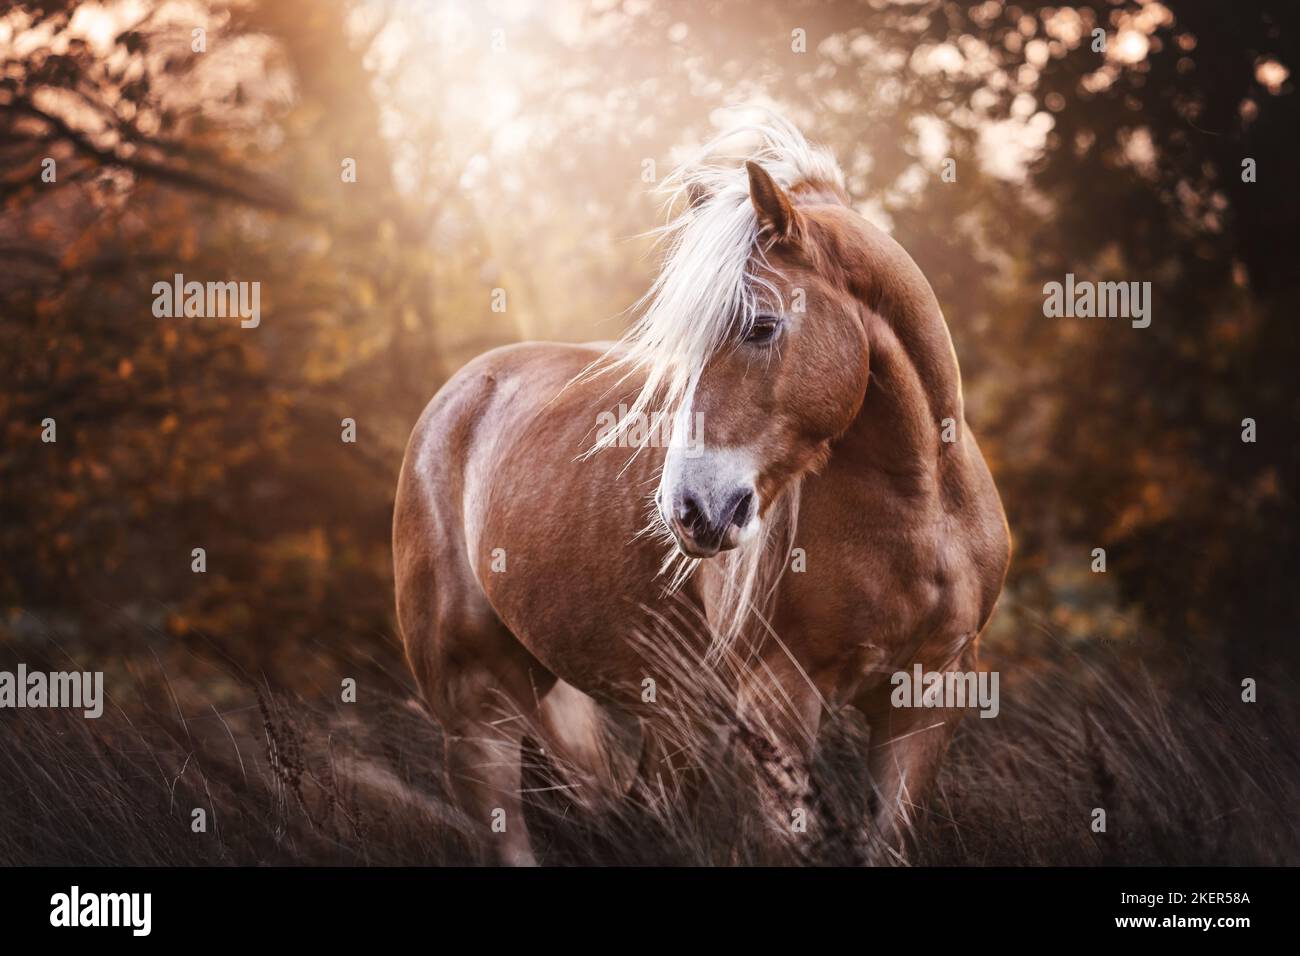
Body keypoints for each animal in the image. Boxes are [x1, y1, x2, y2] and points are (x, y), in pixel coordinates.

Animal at [393, 115, 1010, 865]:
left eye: (762, 326)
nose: (686, 511)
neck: (918, 511)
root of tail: (465, 391)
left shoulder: (926, 704)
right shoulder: (776, 702)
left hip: (659, 716)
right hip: (477, 710)